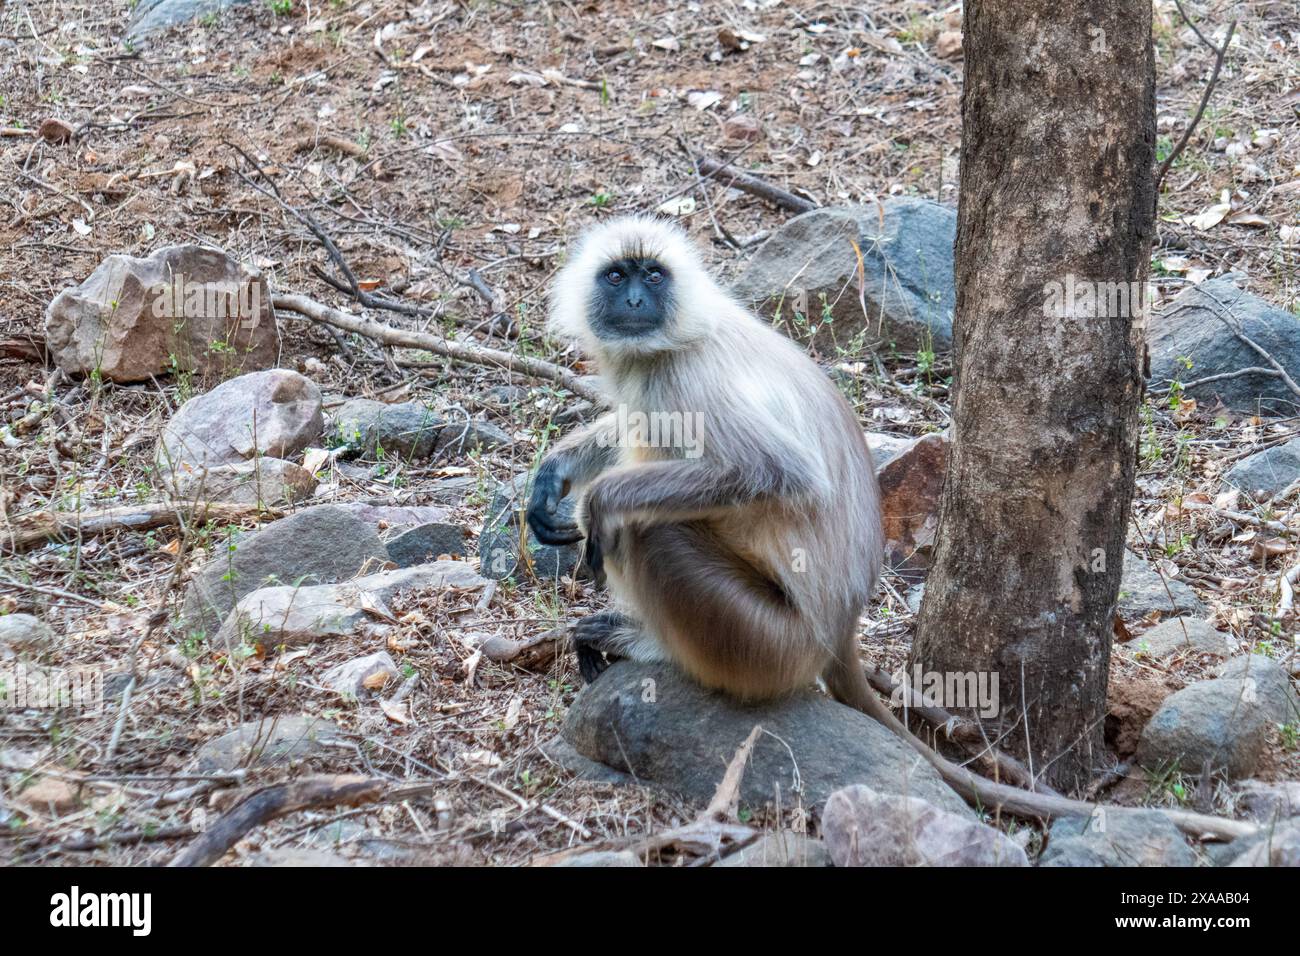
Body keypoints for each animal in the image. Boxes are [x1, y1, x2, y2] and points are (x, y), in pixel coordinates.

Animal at [523, 215, 1234, 836]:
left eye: (653, 274)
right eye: (617, 275)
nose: (636, 298)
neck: (676, 337)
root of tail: (840, 633)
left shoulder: (682, 377)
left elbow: (776, 472)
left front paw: (597, 501)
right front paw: (553, 475)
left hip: (765, 639)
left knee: (648, 528)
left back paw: (649, 638)